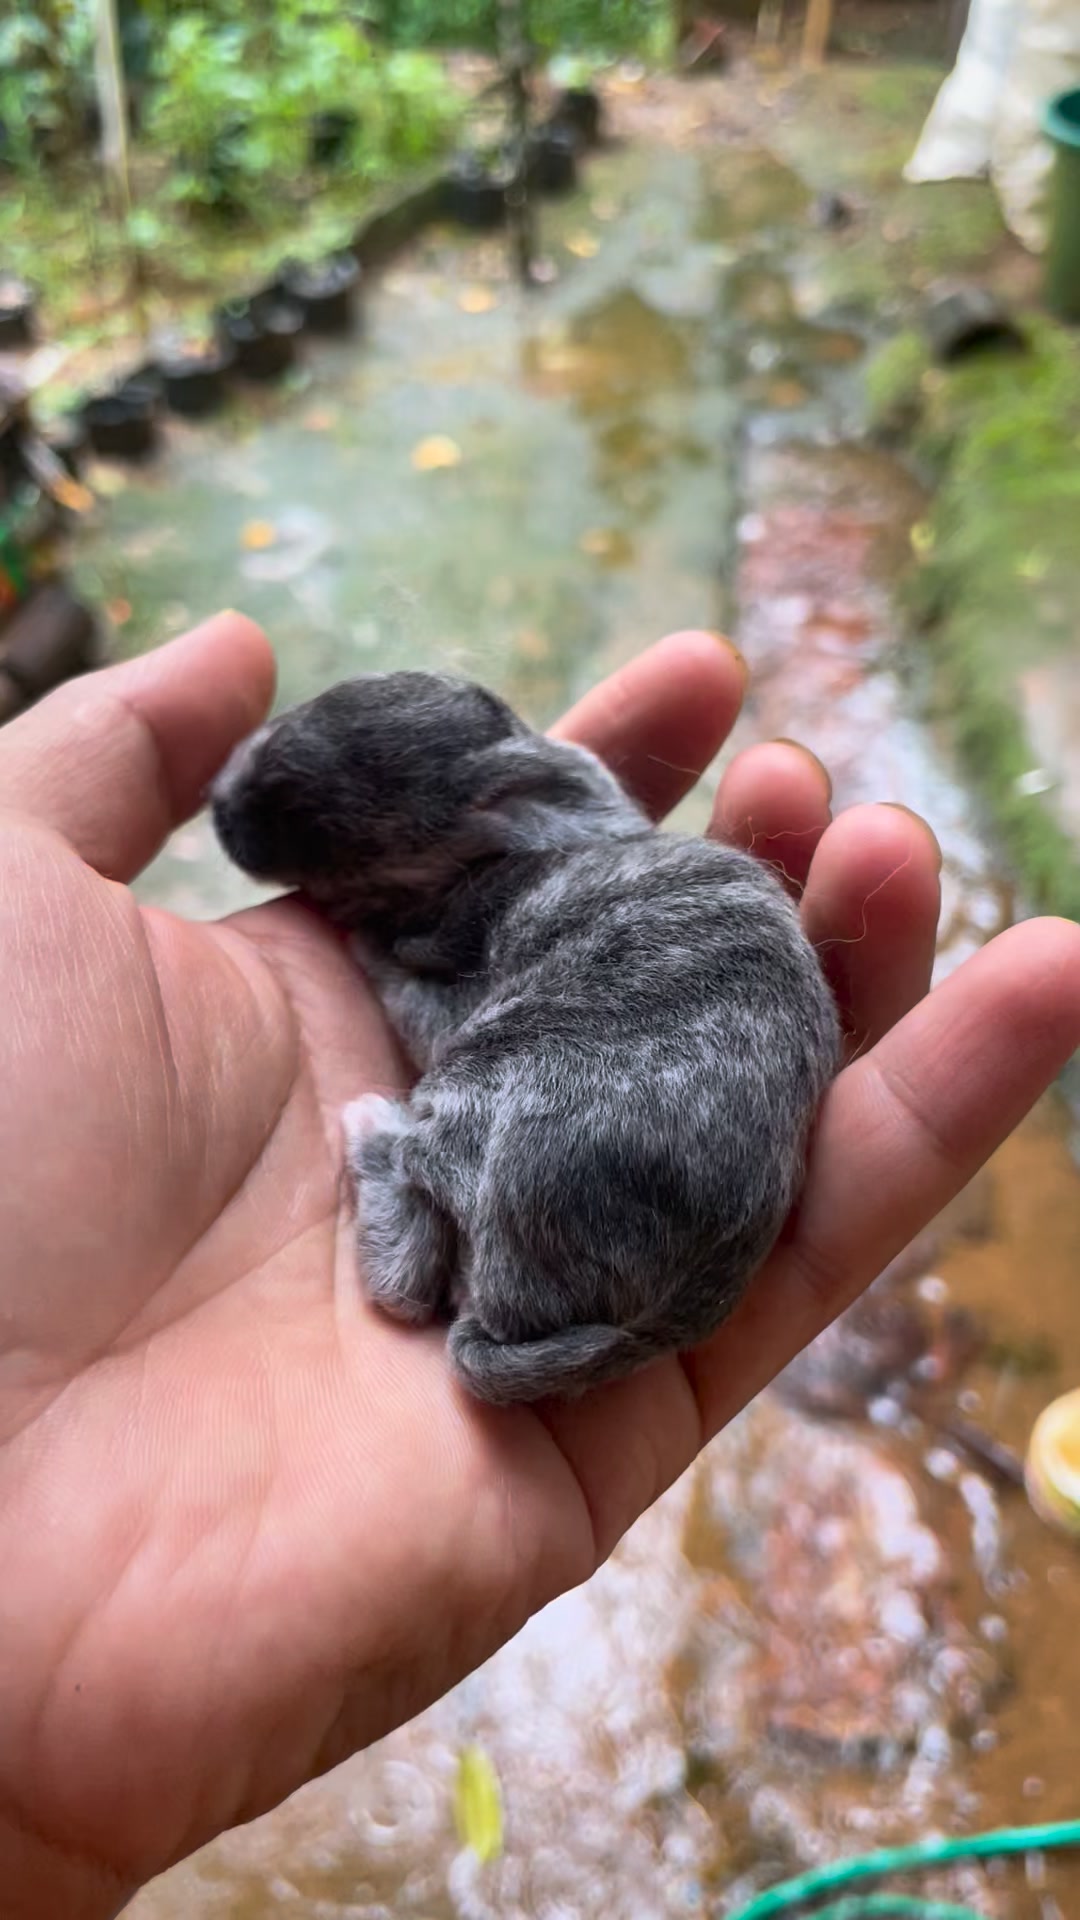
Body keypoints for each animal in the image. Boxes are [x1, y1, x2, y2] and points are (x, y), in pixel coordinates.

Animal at [211, 669, 840, 1405]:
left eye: (297, 811)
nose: (215, 801)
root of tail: (654, 1326)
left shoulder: (454, 993)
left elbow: (404, 983)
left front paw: (368, 939)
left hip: (478, 1081)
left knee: (407, 1280)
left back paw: (371, 1129)